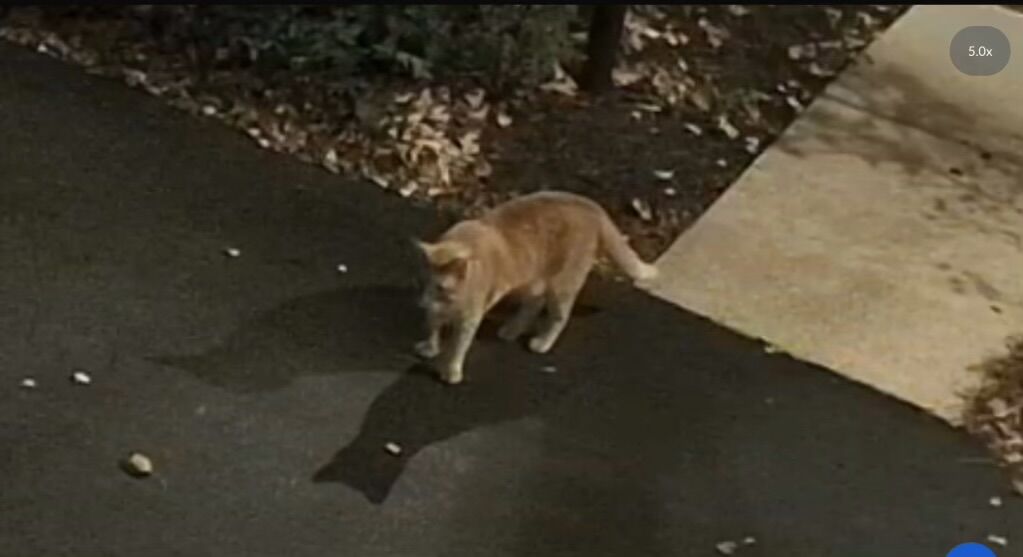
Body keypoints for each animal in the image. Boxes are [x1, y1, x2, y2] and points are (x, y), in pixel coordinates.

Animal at [413, 191, 658, 385]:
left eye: (441, 287)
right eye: (423, 282)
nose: (422, 303)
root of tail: (591, 204)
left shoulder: (469, 318)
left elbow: (458, 346)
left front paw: (451, 370)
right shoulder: (435, 310)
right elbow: (432, 327)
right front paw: (430, 347)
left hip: (562, 285)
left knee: (558, 316)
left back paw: (542, 342)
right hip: (533, 281)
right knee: (534, 304)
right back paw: (511, 330)